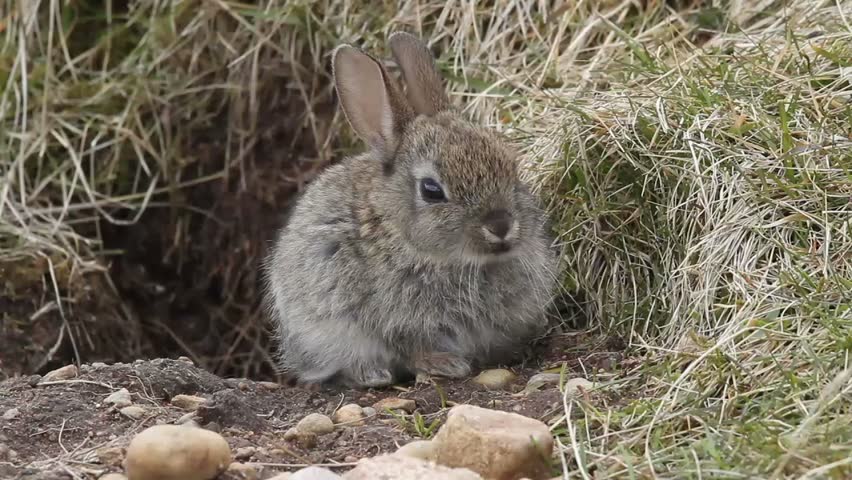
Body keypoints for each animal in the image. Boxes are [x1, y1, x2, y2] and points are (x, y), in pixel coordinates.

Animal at [263, 32, 559, 388]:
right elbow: (410, 346)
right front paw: (445, 364)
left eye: (512, 168)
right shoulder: (395, 321)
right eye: (431, 190)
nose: (501, 225)